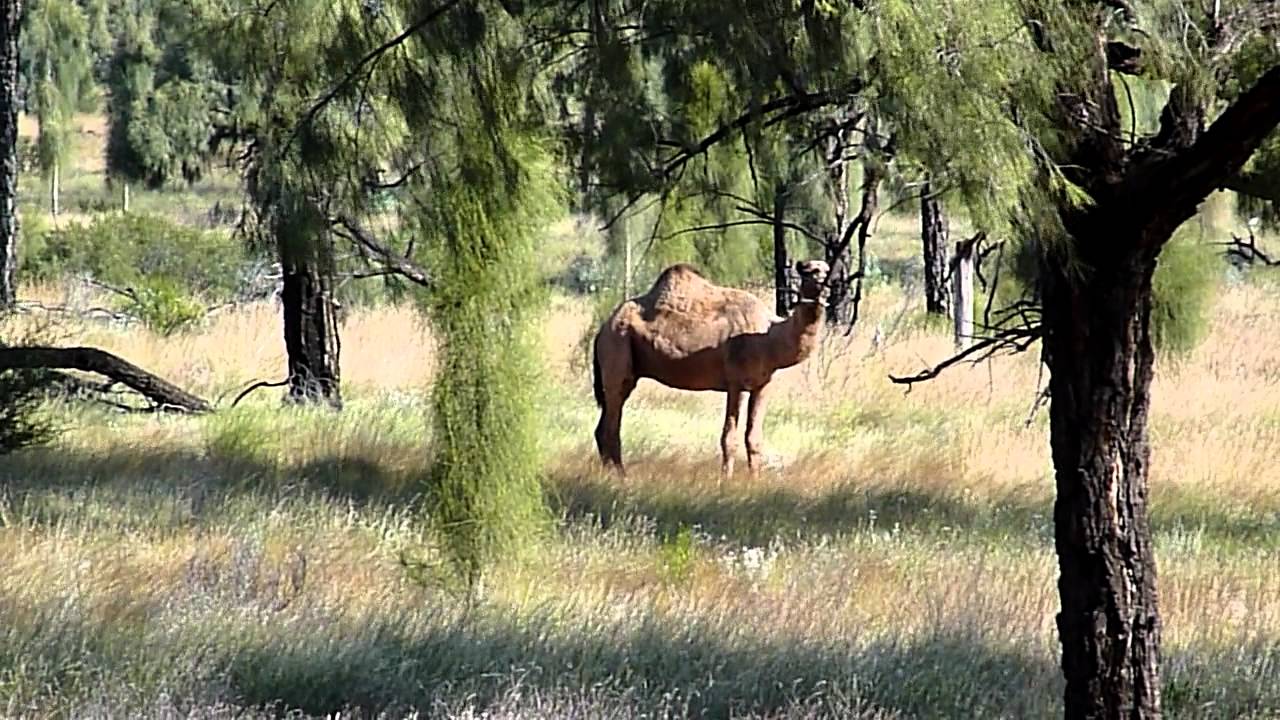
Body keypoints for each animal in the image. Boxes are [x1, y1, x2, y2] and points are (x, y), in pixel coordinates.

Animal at [591, 260, 829, 477]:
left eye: (827, 269)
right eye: (809, 271)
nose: (826, 285)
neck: (769, 337)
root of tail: (603, 329)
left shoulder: (763, 386)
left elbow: (754, 438)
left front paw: (755, 481)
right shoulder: (736, 383)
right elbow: (729, 438)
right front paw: (725, 481)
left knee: (603, 427)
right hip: (617, 349)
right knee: (611, 426)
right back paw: (621, 477)